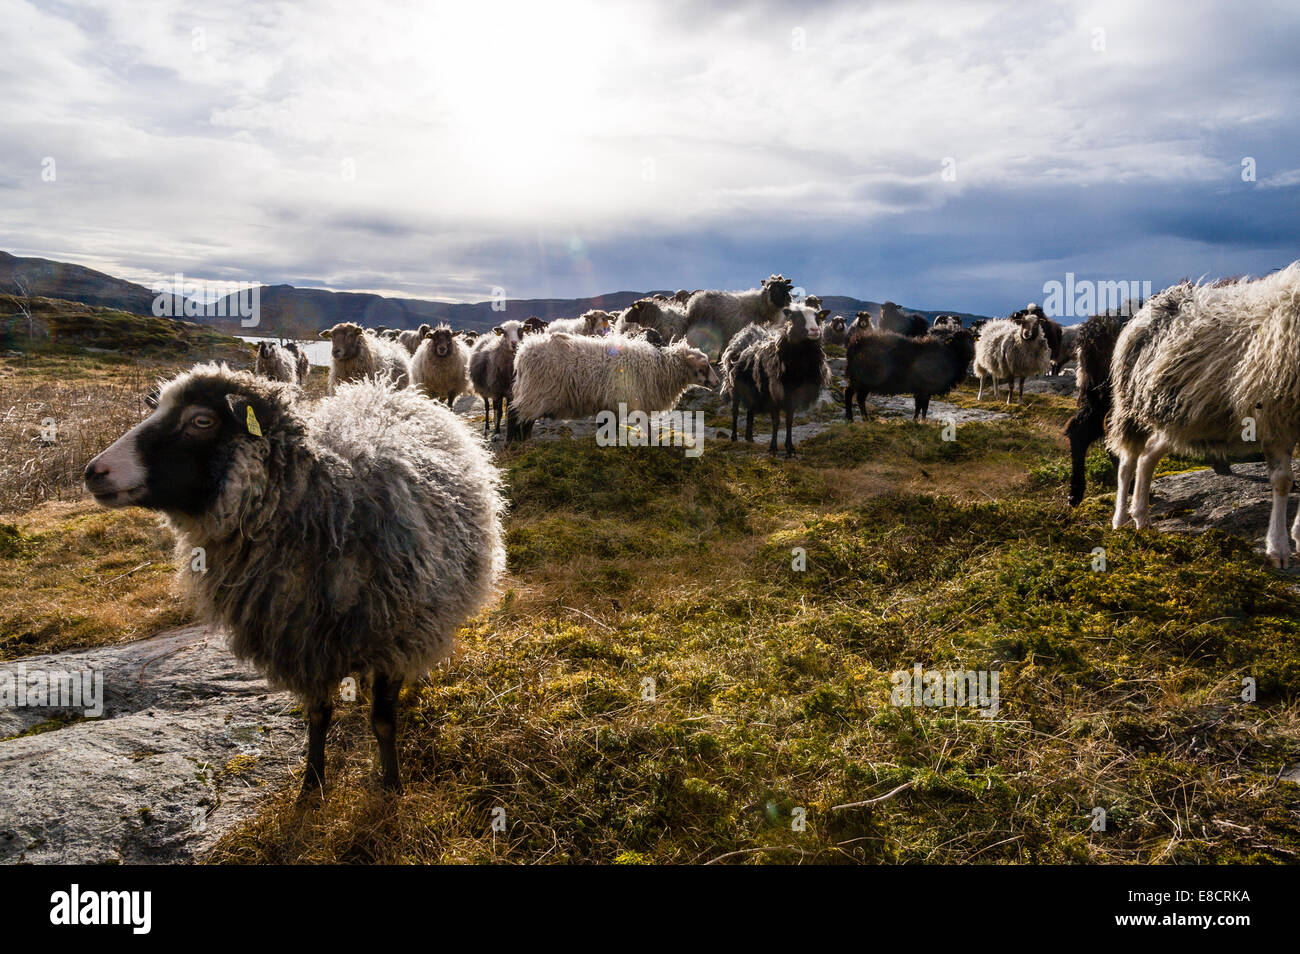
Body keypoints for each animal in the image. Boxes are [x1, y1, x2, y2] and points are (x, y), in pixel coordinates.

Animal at [83, 365, 506, 797]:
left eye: (201, 421)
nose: (93, 472)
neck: (327, 503)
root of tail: (389, 391)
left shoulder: (393, 634)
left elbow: (383, 720)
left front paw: (391, 787)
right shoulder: (304, 640)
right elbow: (318, 715)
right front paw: (311, 785)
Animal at [511, 332, 719, 432]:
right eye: (704, 365)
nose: (717, 383)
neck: (660, 369)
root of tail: (522, 353)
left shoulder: (612, 404)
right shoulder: (627, 400)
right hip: (534, 393)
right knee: (517, 419)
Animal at [720, 306, 832, 457]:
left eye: (818, 318)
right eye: (797, 318)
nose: (815, 331)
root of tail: (743, 335)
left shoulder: (793, 394)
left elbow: (789, 420)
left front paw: (790, 448)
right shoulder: (773, 392)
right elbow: (776, 421)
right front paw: (773, 448)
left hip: (753, 388)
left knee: (750, 411)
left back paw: (749, 438)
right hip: (735, 388)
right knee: (735, 412)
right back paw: (734, 437)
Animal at [843, 326, 976, 422]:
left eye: (972, 339)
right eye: (958, 340)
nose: (971, 353)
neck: (948, 354)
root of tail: (855, 343)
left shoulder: (921, 389)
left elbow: (920, 406)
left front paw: (918, 420)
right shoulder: (925, 388)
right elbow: (923, 406)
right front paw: (920, 421)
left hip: (856, 378)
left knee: (849, 393)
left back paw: (850, 418)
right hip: (863, 379)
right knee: (858, 398)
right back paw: (865, 419)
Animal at [1107, 268, 1300, 564]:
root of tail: (1157, 301)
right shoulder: (1274, 418)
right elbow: (1282, 481)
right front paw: (1278, 548)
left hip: (1180, 417)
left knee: (1148, 455)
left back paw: (1142, 516)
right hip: (1131, 407)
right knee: (1127, 462)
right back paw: (1120, 519)